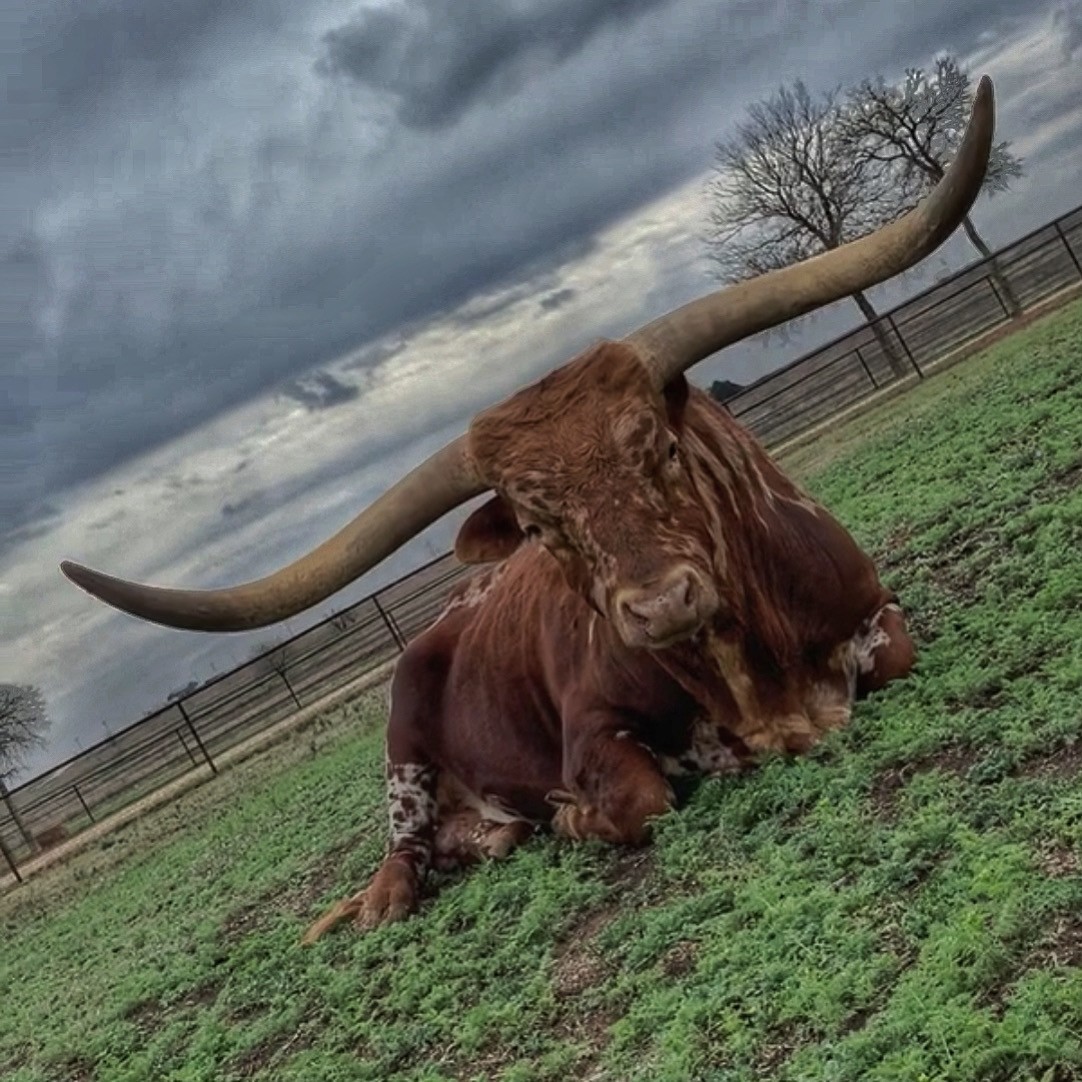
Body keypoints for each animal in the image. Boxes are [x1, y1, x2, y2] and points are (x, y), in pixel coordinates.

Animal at [59, 79, 996, 942]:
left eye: (660, 449)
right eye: (543, 527)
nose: (662, 605)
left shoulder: (869, 607)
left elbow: (895, 655)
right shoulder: (587, 733)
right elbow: (641, 795)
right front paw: (578, 814)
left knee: (470, 840)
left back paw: (492, 837)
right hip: (399, 748)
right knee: (404, 850)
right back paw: (395, 894)